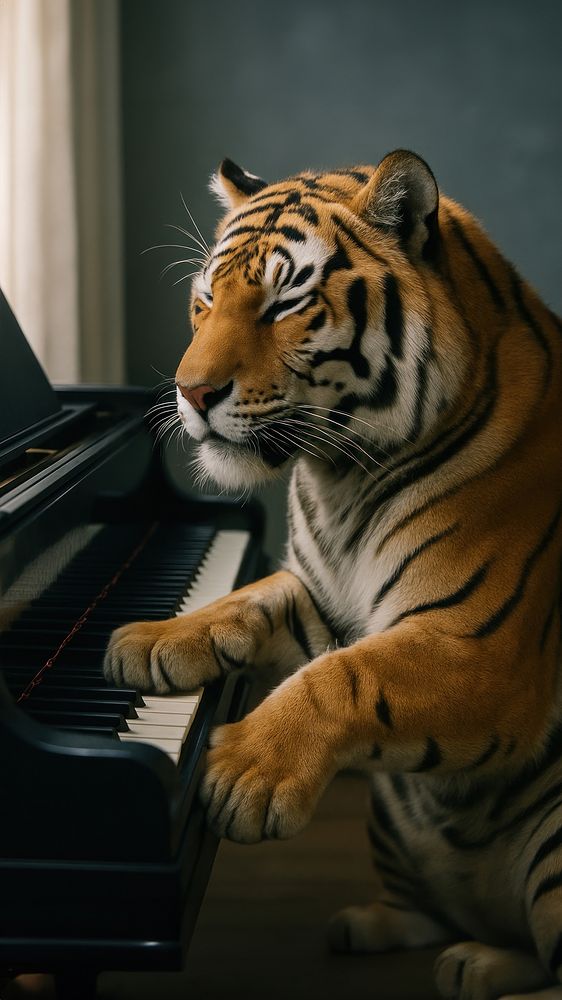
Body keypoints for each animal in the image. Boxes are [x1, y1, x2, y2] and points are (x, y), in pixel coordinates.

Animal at [104, 149, 562, 999]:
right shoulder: (320, 593)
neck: (343, 477)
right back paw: (399, 936)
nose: (190, 393)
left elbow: (345, 678)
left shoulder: (485, 650)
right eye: (205, 299)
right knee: (451, 917)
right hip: (398, 824)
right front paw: (150, 639)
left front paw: (245, 772)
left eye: (286, 302)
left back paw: (479, 968)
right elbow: (247, 602)